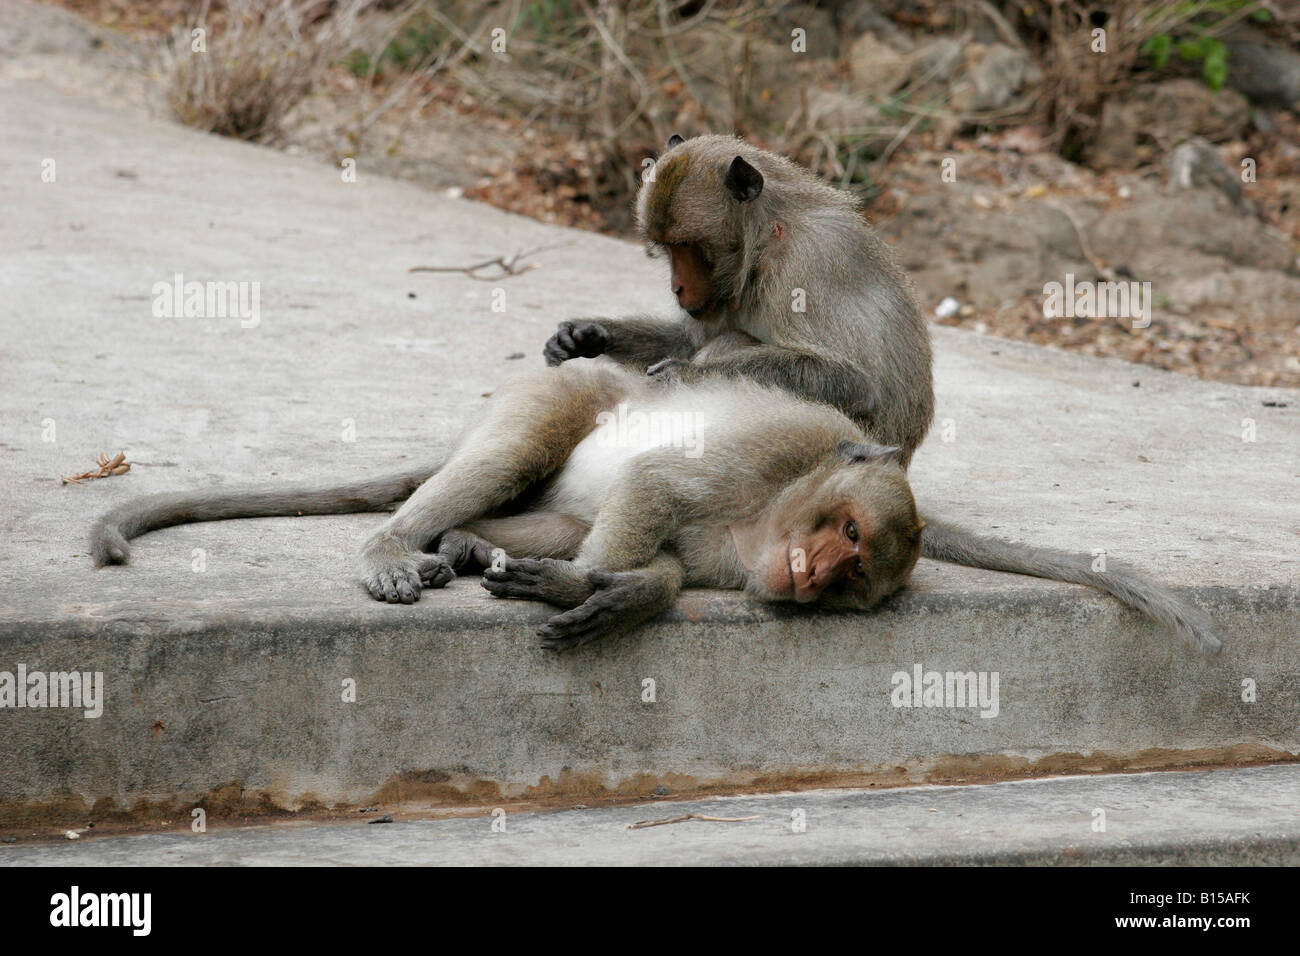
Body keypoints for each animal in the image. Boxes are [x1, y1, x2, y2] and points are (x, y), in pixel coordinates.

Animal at [91, 362, 1223, 655]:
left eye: (855, 571)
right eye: (848, 534)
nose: (816, 573)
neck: (776, 517)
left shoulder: (747, 555)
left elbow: (677, 560)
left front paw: (612, 593)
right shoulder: (767, 462)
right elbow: (659, 489)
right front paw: (600, 588)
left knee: (544, 510)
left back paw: (467, 544)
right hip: (566, 393)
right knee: (524, 446)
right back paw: (399, 540)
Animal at [542, 133, 935, 468]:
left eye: (687, 246)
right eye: (668, 247)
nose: (677, 287)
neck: (764, 242)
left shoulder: (814, 258)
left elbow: (855, 382)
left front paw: (685, 374)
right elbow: (687, 340)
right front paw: (587, 334)